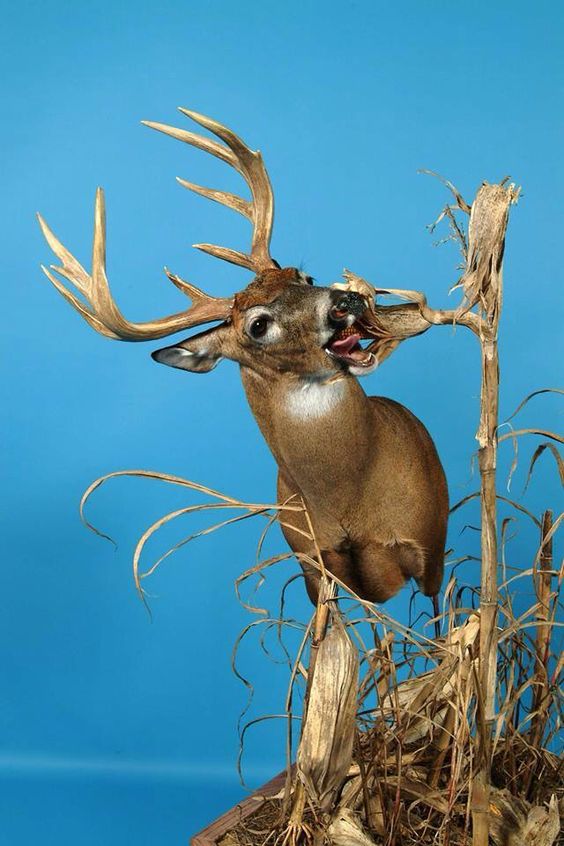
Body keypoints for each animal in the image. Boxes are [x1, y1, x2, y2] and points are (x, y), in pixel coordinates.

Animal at [38, 108, 448, 624]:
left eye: (303, 275)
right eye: (258, 325)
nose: (347, 300)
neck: (349, 503)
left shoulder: (430, 549)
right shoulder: (313, 565)